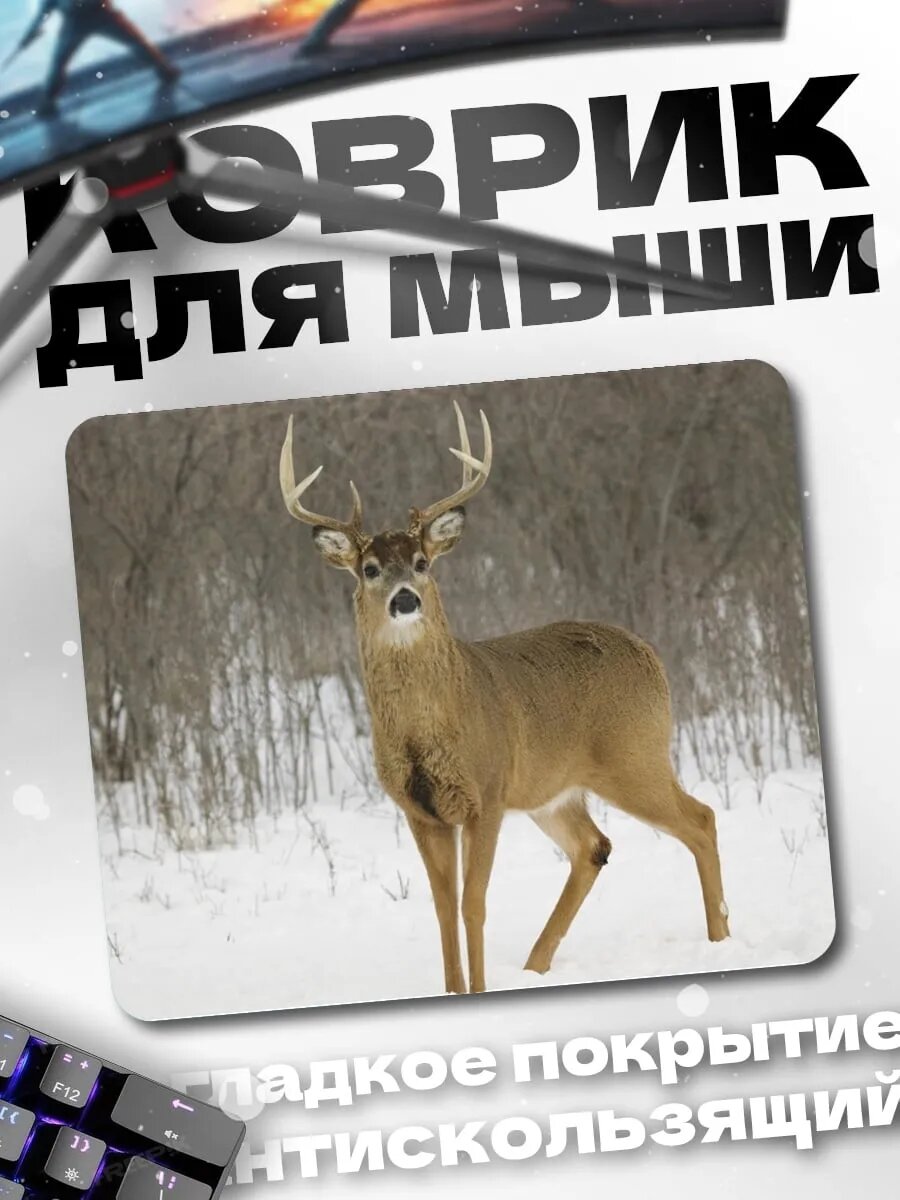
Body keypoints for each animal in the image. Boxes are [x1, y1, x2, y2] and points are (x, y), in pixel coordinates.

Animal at [279, 401, 730, 994]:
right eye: (370, 569)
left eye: (422, 562)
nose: (405, 599)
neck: (429, 729)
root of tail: (650, 653)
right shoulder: (420, 810)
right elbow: (443, 908)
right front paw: (454, 989)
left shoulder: (486, 793)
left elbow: (473, 905)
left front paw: (478, 988)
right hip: (553, 790)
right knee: (593, 847)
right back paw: (536, 966)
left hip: (635, 757)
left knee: (700, 819)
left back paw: (721, 940)